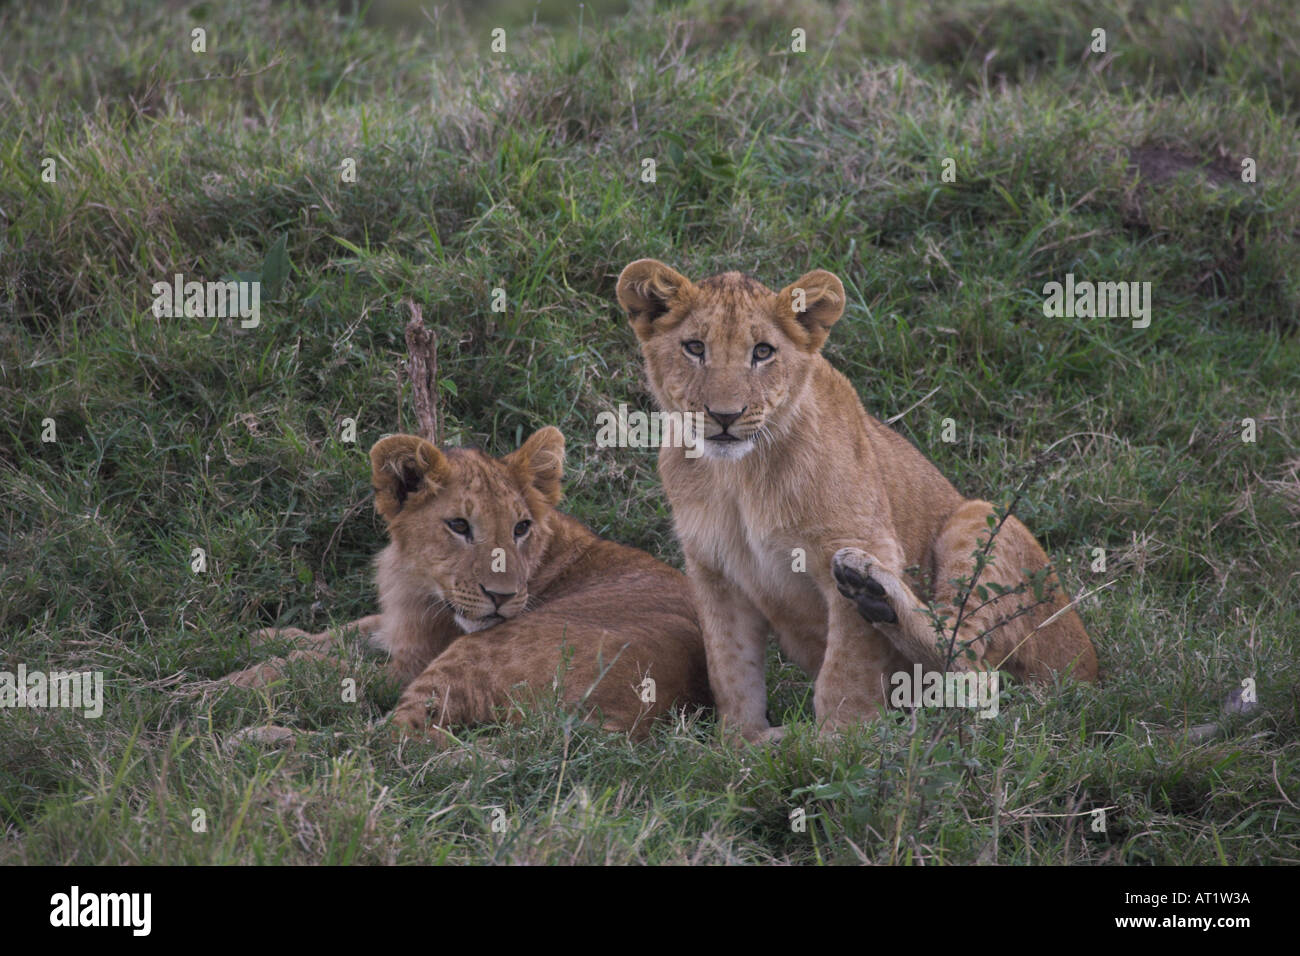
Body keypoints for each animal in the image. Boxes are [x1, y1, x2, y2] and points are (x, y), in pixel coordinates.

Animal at [224, 426, 711, 745]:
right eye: (459, 525)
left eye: (520, 528)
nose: (502, 597)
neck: (417, 580)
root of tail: (627, 720)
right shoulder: (400, 625)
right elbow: (345, 632)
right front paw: (264, 638)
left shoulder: (412, 662)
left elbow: (313, 668)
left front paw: (231, 682)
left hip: (472, 654)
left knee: (392, 740)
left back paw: (261, 737)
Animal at [616, 259, 1098, 743]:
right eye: (694, 347)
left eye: (763, 352)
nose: (724, 416)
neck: (738, 475)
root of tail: (1088, 667)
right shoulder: (715, 574)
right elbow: (729, 666)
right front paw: (743, 741)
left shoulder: (864, 540)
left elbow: (846, 668)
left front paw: (839, 741)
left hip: (983, 517)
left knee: (973, 667)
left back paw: (873, 590)